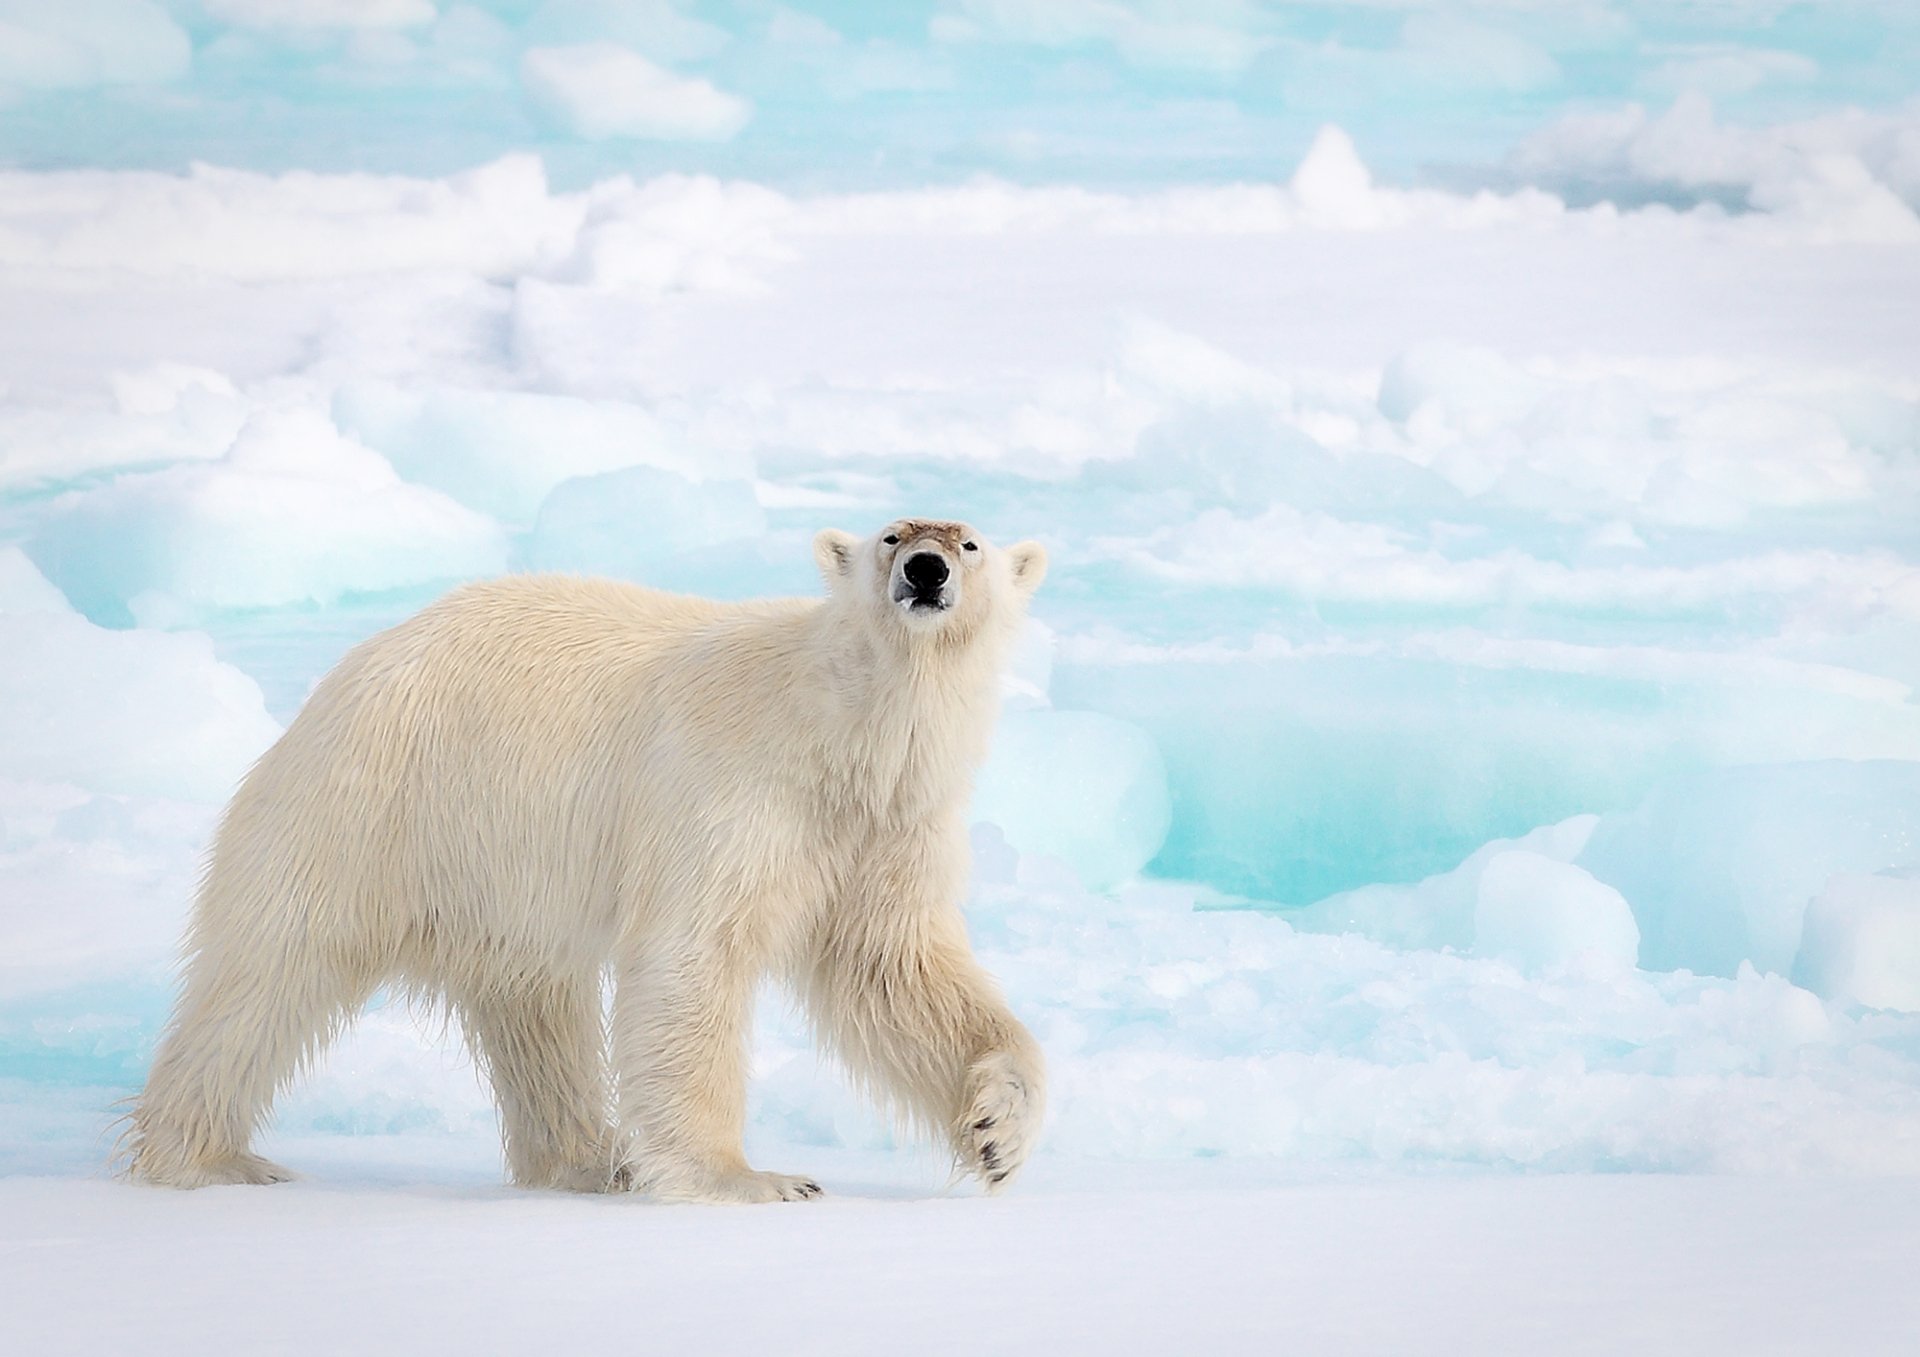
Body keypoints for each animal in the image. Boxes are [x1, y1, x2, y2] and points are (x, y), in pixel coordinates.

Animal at [125, 519, 1048, 1202]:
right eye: (893, 534)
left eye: (969, 542)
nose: (926, 568)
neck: (842, 734)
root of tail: (340, 678)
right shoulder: (738, 794)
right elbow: (694, 955)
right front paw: (755, 1177)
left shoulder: (888, 826)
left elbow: (894, 967)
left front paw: (998, 1130)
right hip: (373, 811)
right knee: (270, 976)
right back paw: (205, 1156)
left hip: (493, 872)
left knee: (537, 1011)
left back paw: (590, 1161)